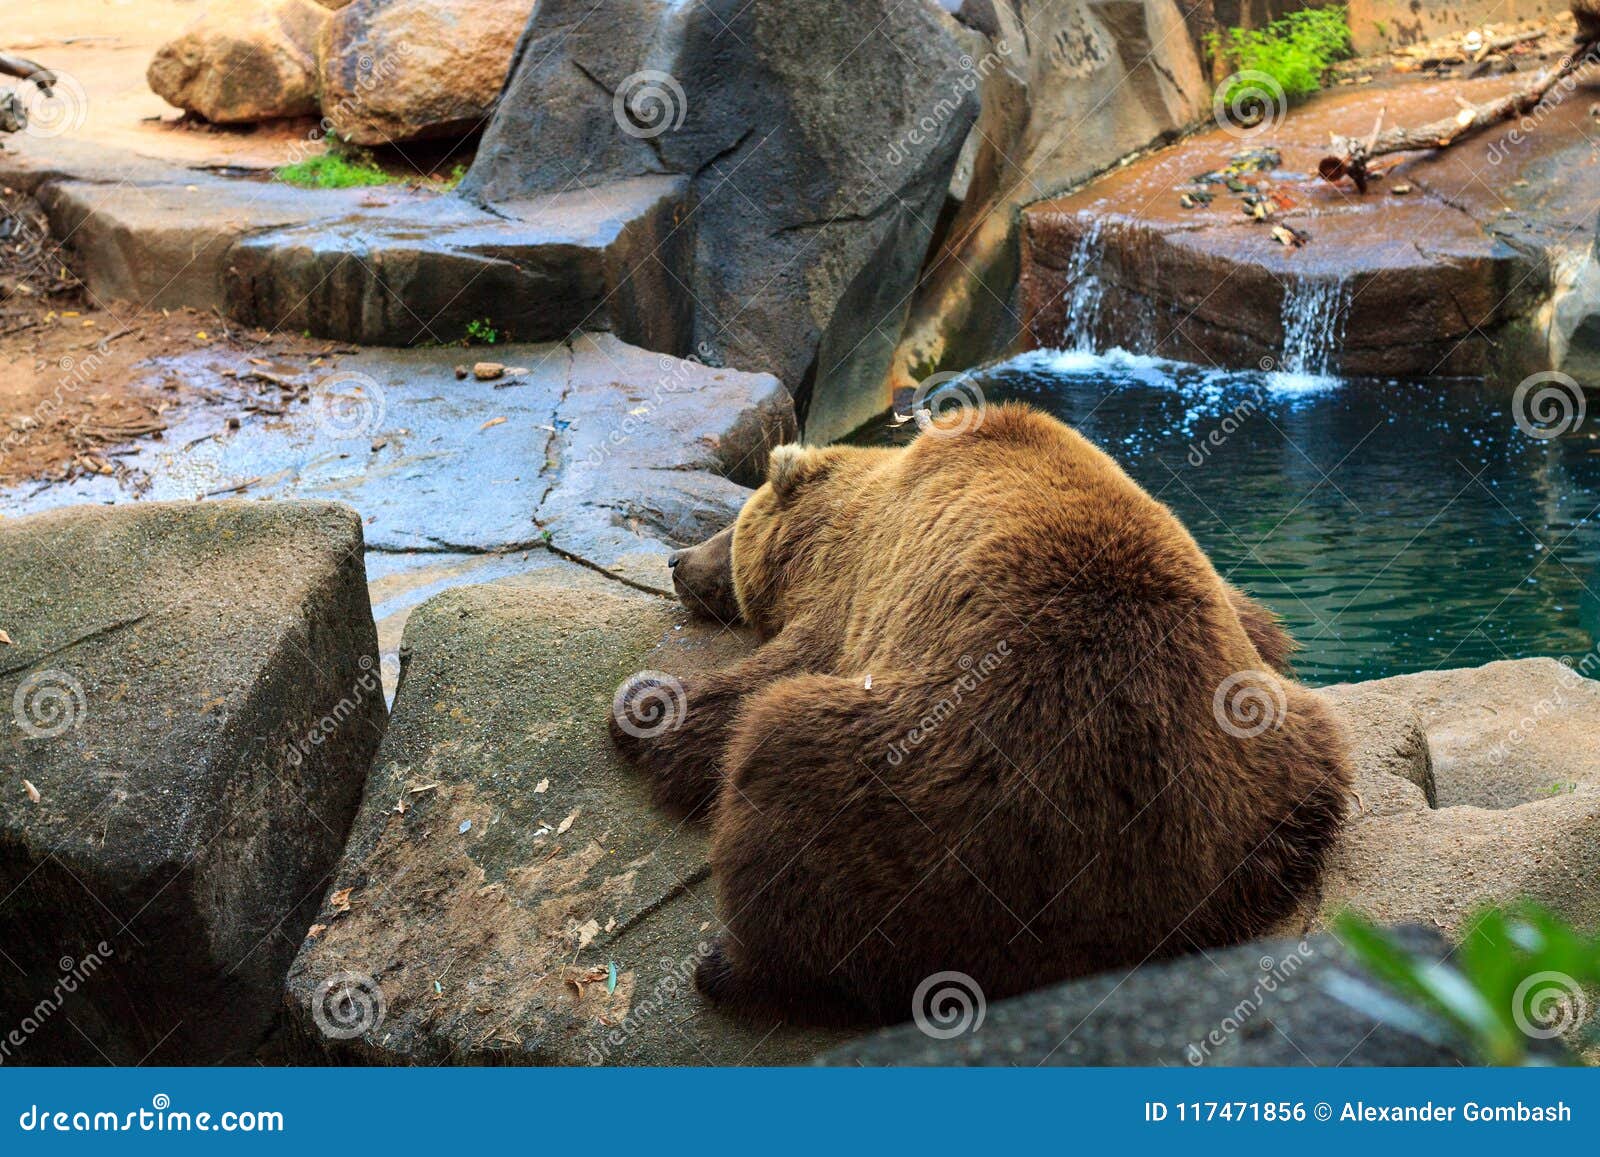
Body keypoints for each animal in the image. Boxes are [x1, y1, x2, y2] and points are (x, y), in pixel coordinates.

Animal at [610, 402, 1350, 1025]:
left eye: (731, 523)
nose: (676, 560)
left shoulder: (857, 596)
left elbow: (764, 682)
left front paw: (646, 707)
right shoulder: (1241, 633)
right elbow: (1260, 623)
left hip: (953, 781)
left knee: (787, 760)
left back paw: (734, 965)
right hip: (1280, 769)